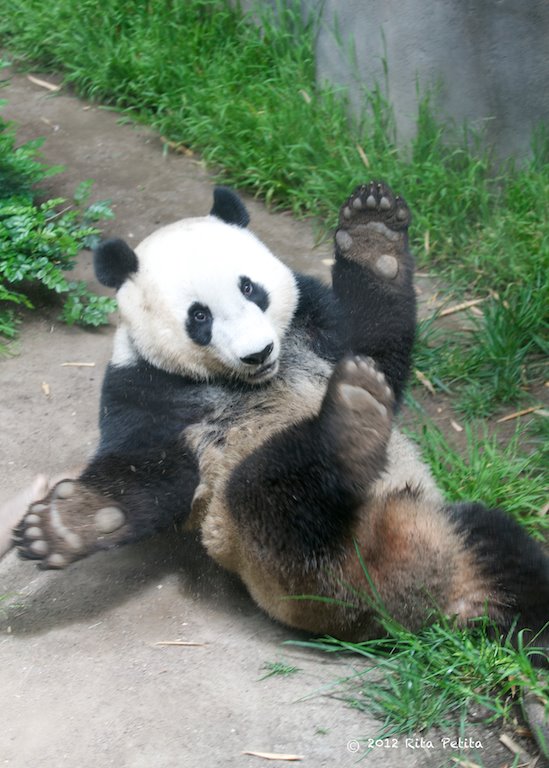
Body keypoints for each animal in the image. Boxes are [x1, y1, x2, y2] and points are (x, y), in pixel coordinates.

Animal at [13, 182, 549, 660]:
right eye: (199, 316)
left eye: (251, 288)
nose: (258, 352)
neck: (245, 381)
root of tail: (388, 599)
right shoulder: (147, 386)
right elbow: (151, 471)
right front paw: (67, 522)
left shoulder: (315, 328)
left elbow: (376, 346)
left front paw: (373, 232)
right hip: (268, 551)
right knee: (274, 489)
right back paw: (348, 428)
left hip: (448, 530)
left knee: (513, 558)